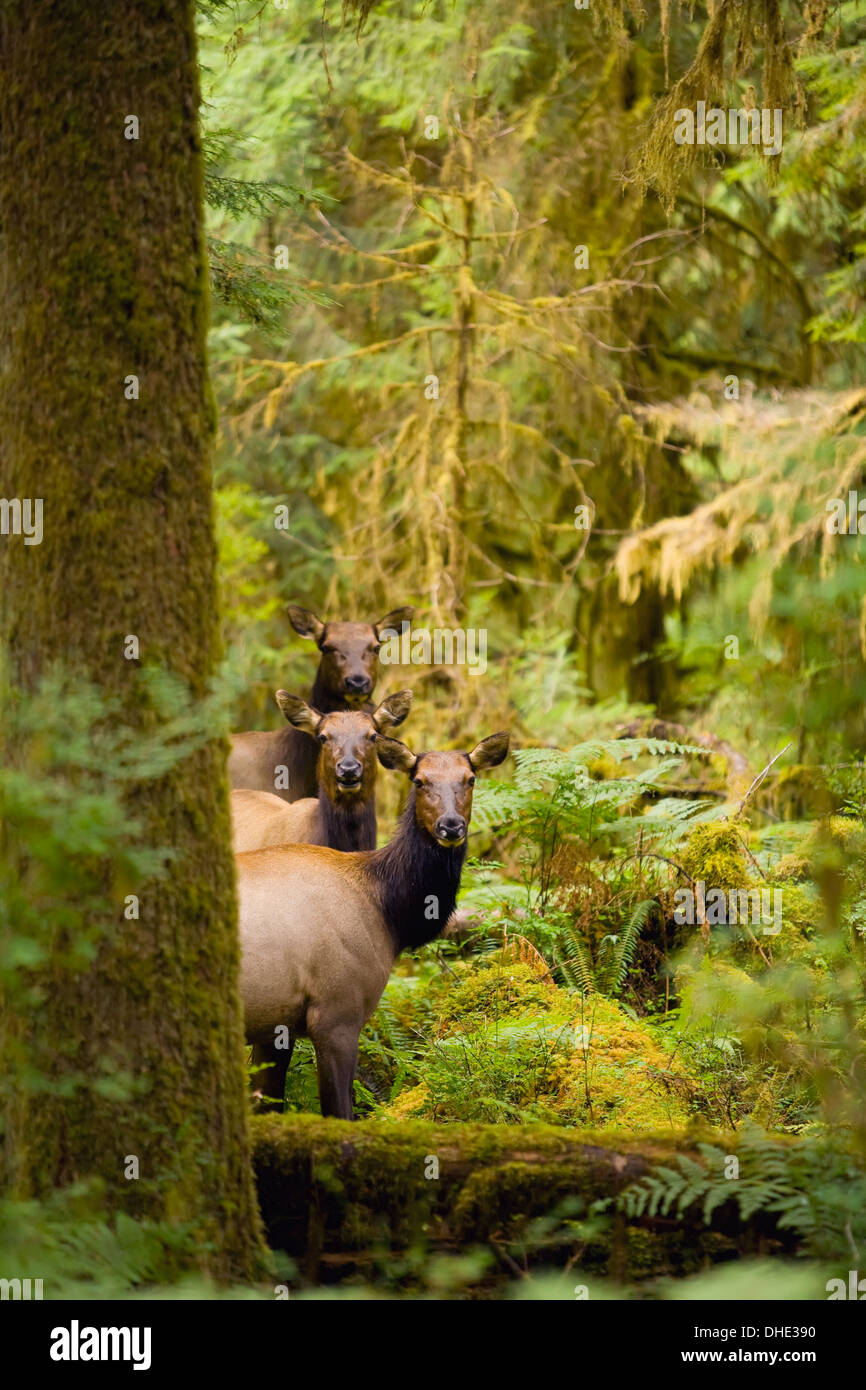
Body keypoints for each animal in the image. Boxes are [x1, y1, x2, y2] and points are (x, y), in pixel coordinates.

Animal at [236, 729, 510, 1118]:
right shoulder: (337, 1012)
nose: (450, 825)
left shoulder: (277, 1022)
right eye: (419, 780)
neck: (388, 913)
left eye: (470, 778)